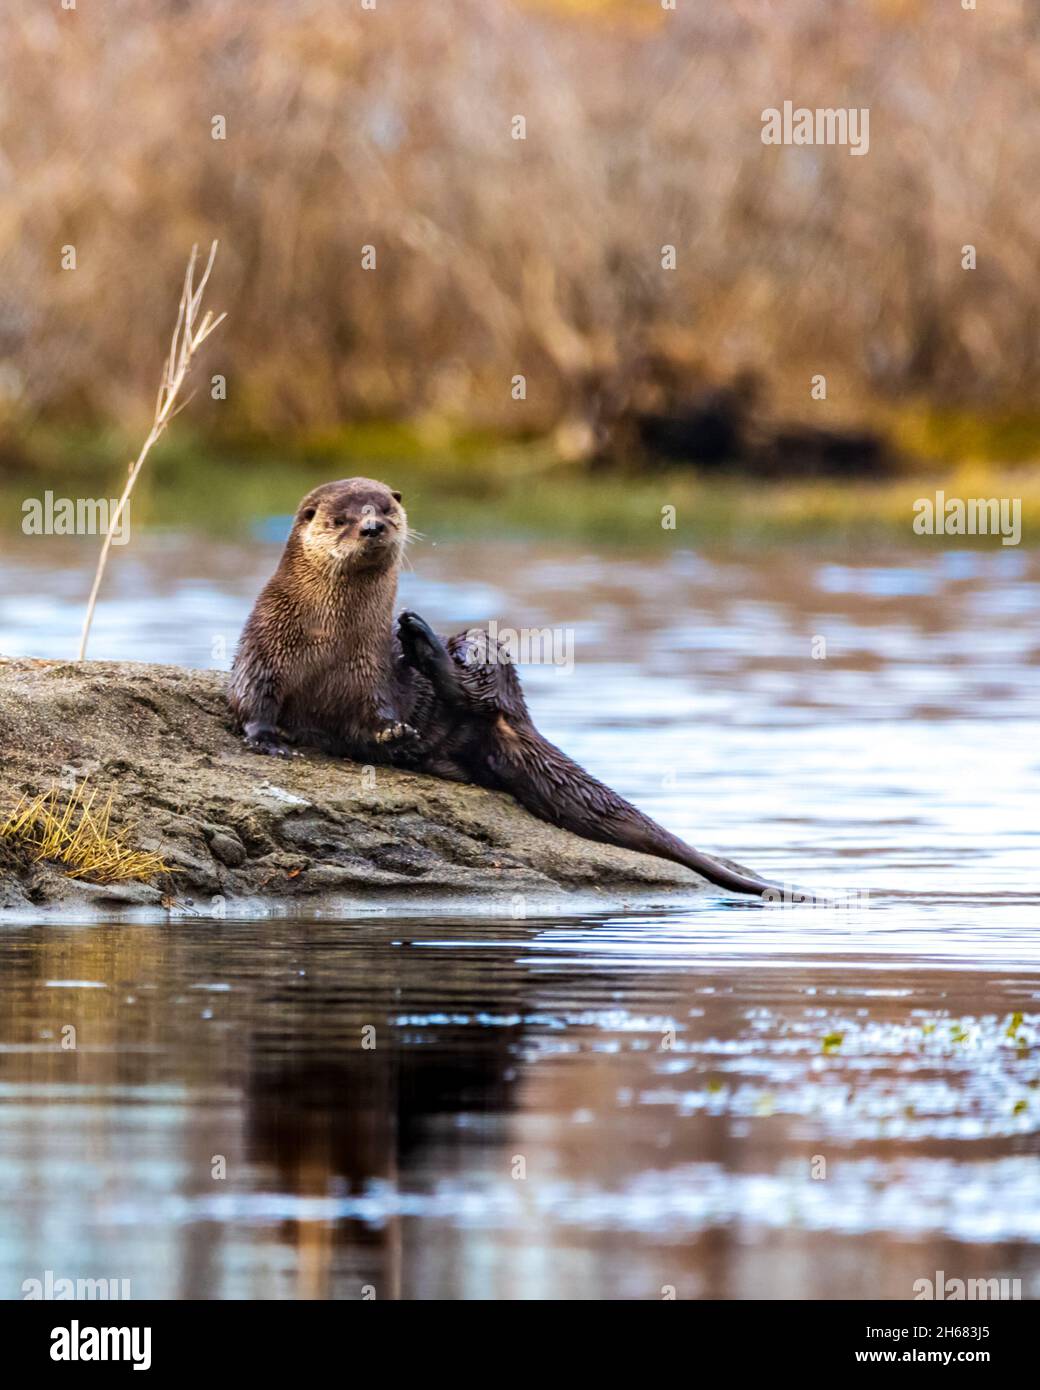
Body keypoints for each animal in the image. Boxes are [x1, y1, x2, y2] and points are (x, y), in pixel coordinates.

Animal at [229, 478, 780, 897]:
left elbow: (377, 712)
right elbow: (250, 697)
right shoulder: (264, 643)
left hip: (487, 657)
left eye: (385, 508)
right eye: (341, 518)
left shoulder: (373, 674)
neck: (329, 639)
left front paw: (391, 734)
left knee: (477, 682)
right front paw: (267, 739)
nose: (372, 526)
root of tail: (522, 718)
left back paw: (423, 643)